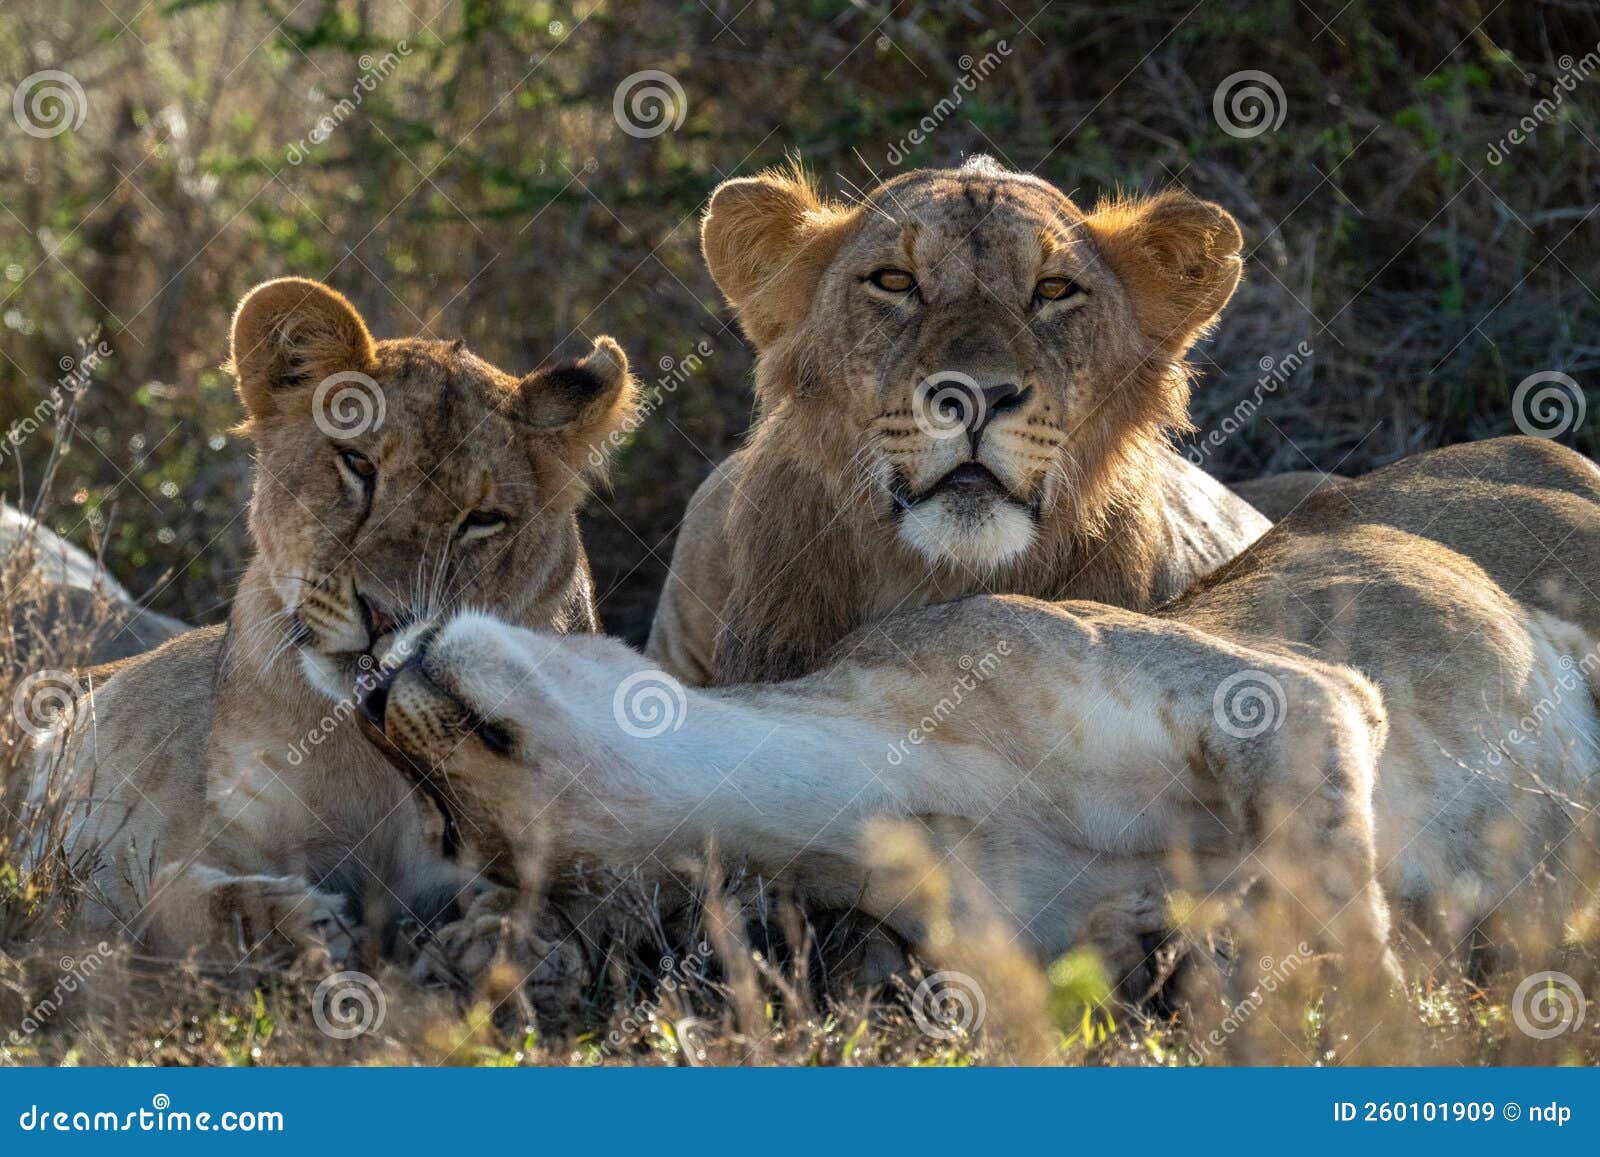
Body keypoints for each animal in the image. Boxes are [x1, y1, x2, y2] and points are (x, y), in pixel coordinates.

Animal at [38, 277, 635, 986]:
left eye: (483, 519)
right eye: (357, 464)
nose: (385, 615)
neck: (362, 750)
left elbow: (565, 910)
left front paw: (498, 946)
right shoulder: (185, 849)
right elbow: (179, 902)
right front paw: (306, 929)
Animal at [365, 437, 1600, 1000]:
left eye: (434, 805)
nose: (372, 696)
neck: (876, 788)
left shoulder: (1287, 690)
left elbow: (1334, 879)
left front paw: (1391, 1020)